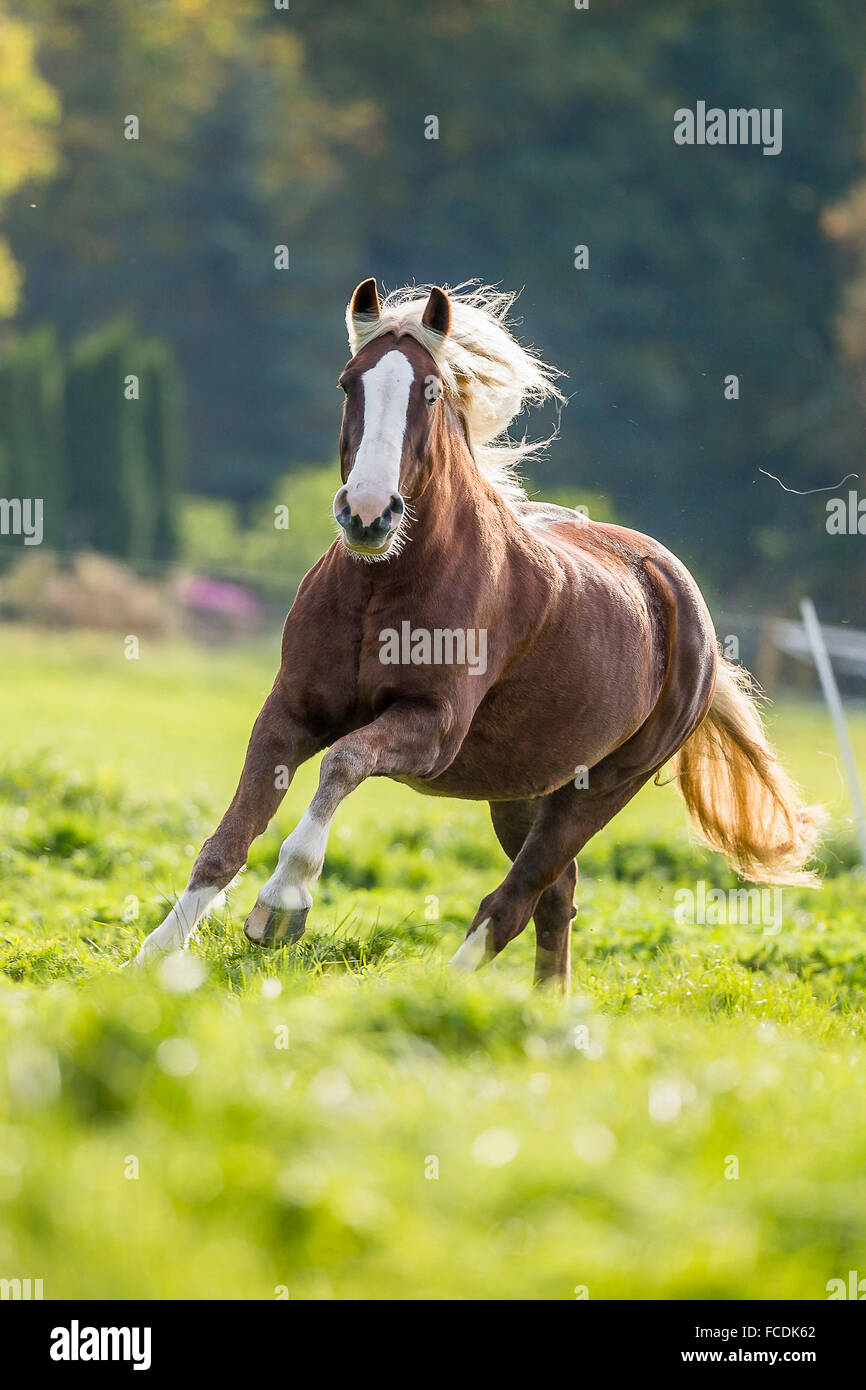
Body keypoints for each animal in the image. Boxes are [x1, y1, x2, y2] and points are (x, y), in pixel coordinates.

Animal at [134, 278, 822, 986]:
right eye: (348, 384)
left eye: (432, 390)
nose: (368, 515)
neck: (383, 585)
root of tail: (684, 604)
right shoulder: (290, 711)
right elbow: (226, 841)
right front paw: (149, 959)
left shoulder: (433, 728)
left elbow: (342, 763)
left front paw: (280, 908)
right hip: (522, 787)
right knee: (556, 897)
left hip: (602, 789)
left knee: (514, 901)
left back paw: (442, 993)